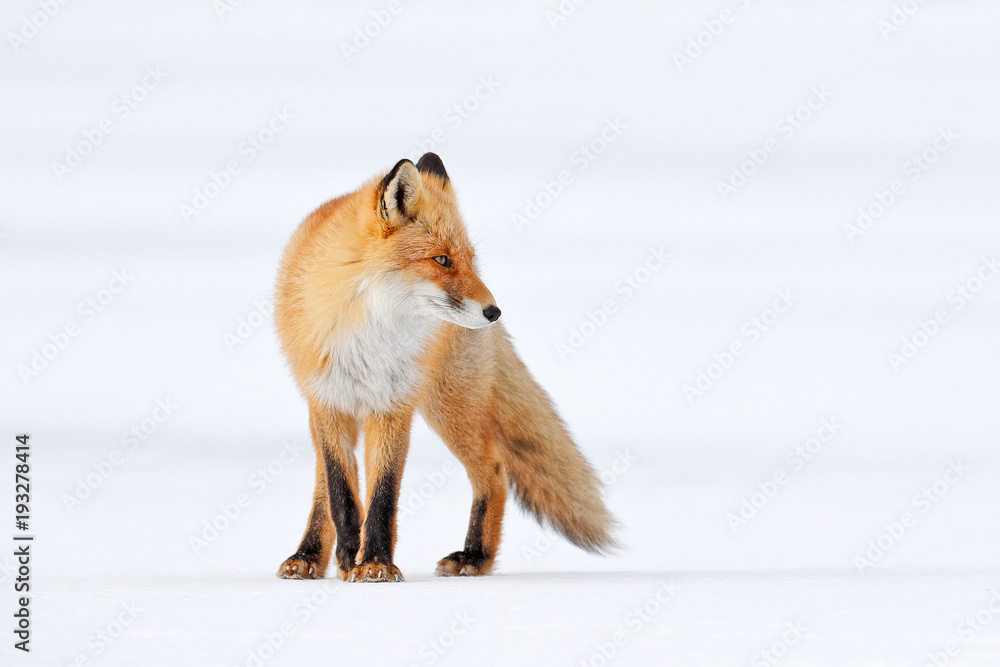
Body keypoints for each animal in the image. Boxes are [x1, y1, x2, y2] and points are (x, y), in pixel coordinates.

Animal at [274, 153, 616, 582]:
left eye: (470, 261)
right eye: (441, 259)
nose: (494, 312)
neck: (368, 333)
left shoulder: (394, 405)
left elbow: (383, 494)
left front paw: (376, 563)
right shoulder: (328, 402)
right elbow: (341, 494)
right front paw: (351, 556)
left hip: (450, 408)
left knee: (495, 471)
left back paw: (474, 556)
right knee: (324, 483)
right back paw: (308, 555)